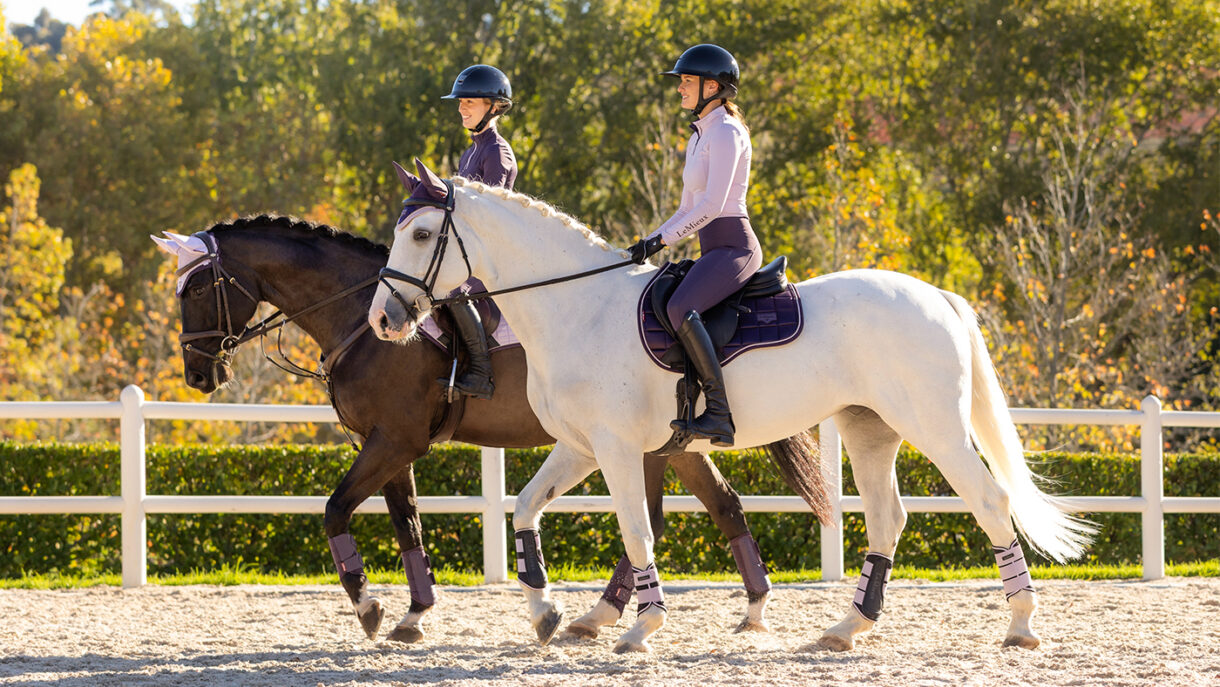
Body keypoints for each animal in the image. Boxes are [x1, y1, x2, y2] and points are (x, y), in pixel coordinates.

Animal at [152, 215, 802, 644]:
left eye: (197, 287)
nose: (198, 373)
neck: (362, 317)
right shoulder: (389, 447)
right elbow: (408, 524)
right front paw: (414, 614)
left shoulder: (394, 441)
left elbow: (336, 510)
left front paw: (369, 606)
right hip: (671, 444)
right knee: (720, 506)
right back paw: (730, 609)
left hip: (644, 444)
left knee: (669, 518)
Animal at [368, 161, 1095, 653]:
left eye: (423, 233)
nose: (382, 319)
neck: (578, 306)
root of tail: (935, 294)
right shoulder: (579, 447)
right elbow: (523, 508)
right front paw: (547, 613)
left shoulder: (616, 449)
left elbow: (637, 531)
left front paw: (641, 628)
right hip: (870, 431)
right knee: (888, 521)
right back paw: (846, 627)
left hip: (935, 427)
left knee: (990, 502)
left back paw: (1022, 624)